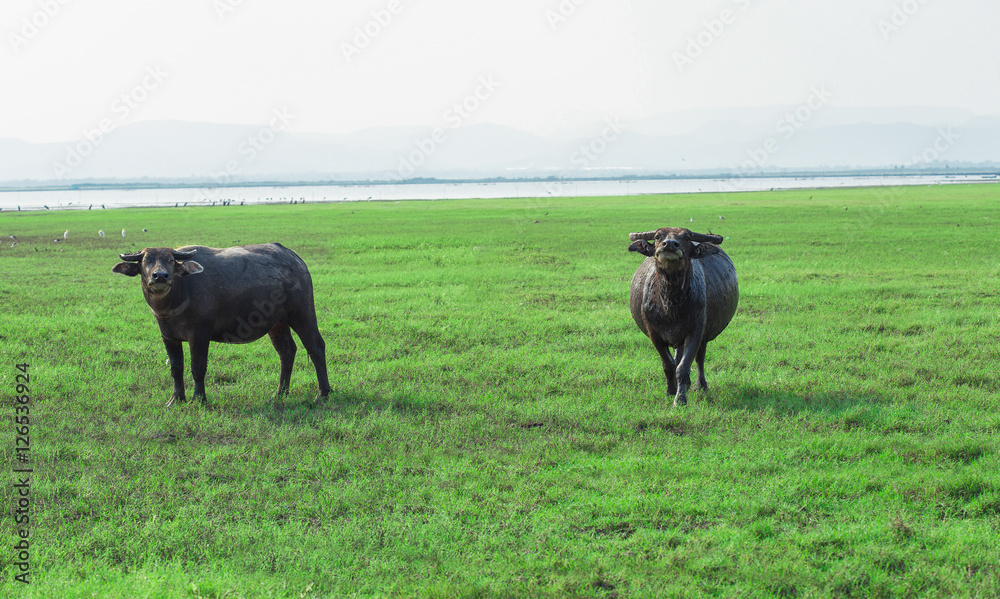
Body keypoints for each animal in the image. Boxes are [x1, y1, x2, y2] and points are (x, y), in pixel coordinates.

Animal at [113, 243, 330, 406]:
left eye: (171, 261)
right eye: (146, 261)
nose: (160, 276)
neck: (176, 298)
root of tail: (295, 259)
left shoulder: (199, 335)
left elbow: (197, 367)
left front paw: (198, 399)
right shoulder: (168, 337)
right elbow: (176, 368)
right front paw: (176, 399)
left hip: (302, 314)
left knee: (316, 347)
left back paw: (323, 393)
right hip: (277, 323)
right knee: (287, 351)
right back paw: (280, 393)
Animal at [628, 227, 738, 406]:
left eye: (686, 237)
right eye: (658, 237)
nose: (669, 244)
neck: (670, 304)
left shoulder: (696, 332)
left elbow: (683, 367)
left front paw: (680, 399)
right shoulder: (654, 334)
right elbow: (669, 365)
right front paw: (671, 391)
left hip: (703, 336)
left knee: (699, 359)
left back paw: (700, 385)